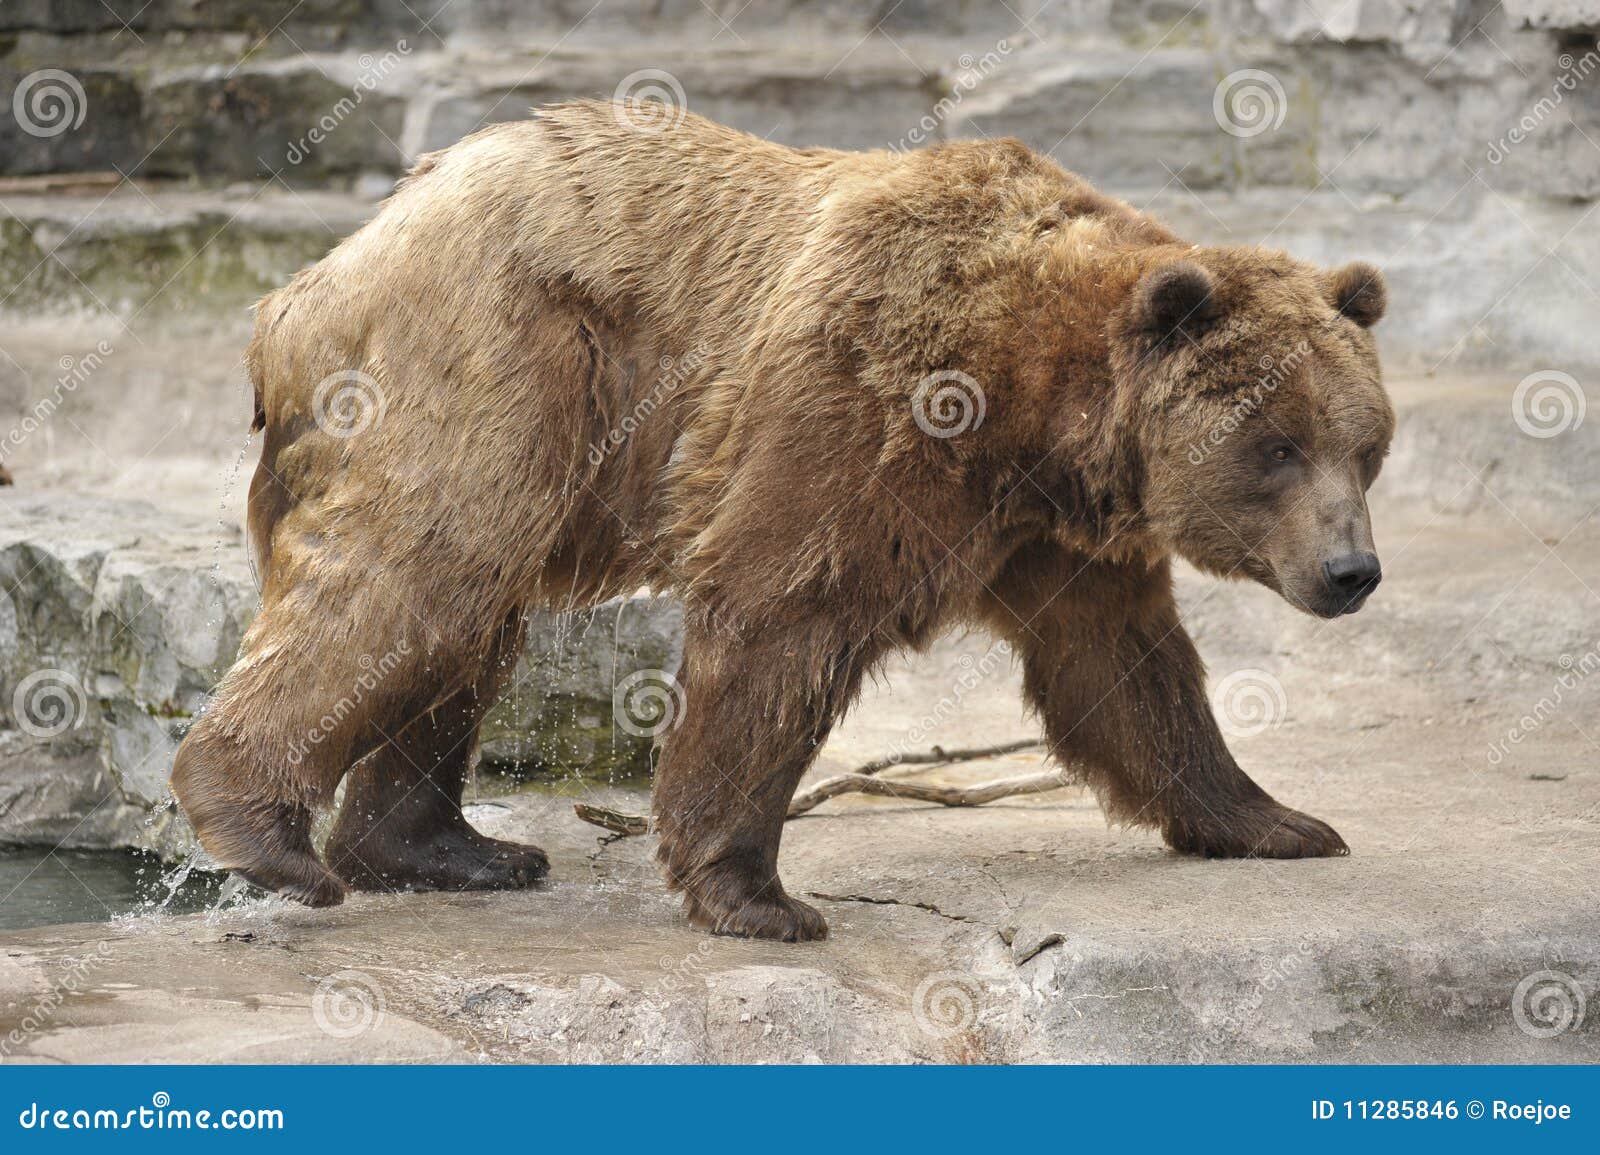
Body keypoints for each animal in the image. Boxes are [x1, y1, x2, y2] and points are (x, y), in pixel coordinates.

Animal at [169, 99, 1393, 942]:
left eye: (1366, 444)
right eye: (1277, 447)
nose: (1352, 571)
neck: (1042, 408)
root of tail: (308, 288)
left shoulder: (1053, 533)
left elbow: (1128, 669)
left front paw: (1281, 822)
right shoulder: (872, 400)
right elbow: (780, 610)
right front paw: (759, 896)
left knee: (469, 612)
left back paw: (447, 847)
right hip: (503, 352)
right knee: (426, 568)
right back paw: (266, 835)